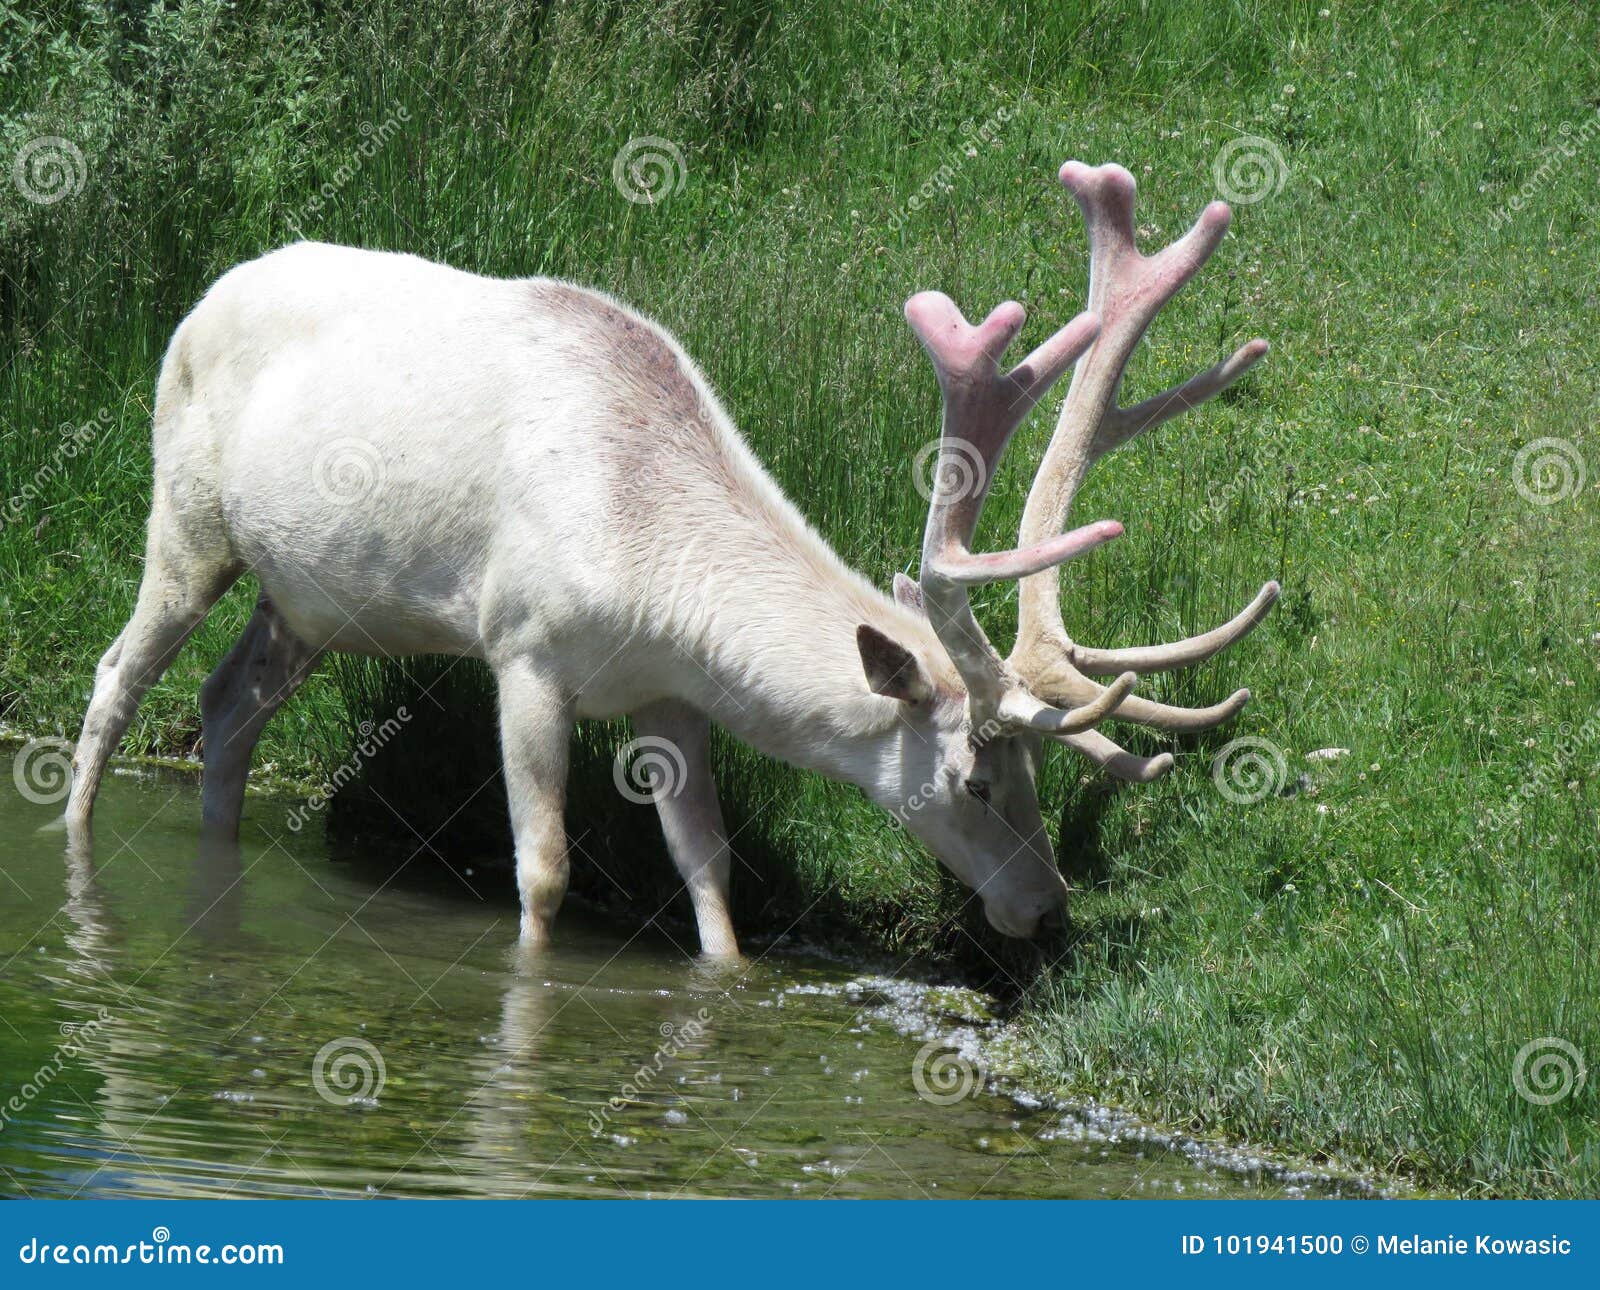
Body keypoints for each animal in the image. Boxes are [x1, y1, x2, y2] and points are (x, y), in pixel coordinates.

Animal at [64, 160, 1275, 958]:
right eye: (975, 780)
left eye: (1035, 777)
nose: (1047, 907)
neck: (644, 565)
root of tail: (205, 294)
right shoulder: (522, 646)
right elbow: (545, 869)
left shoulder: (672, 695)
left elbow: (709, 867)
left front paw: (723, 976)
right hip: (185, 516)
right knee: (116, 675)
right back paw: (73, 853)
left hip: (310, 599)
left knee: (227, 705)